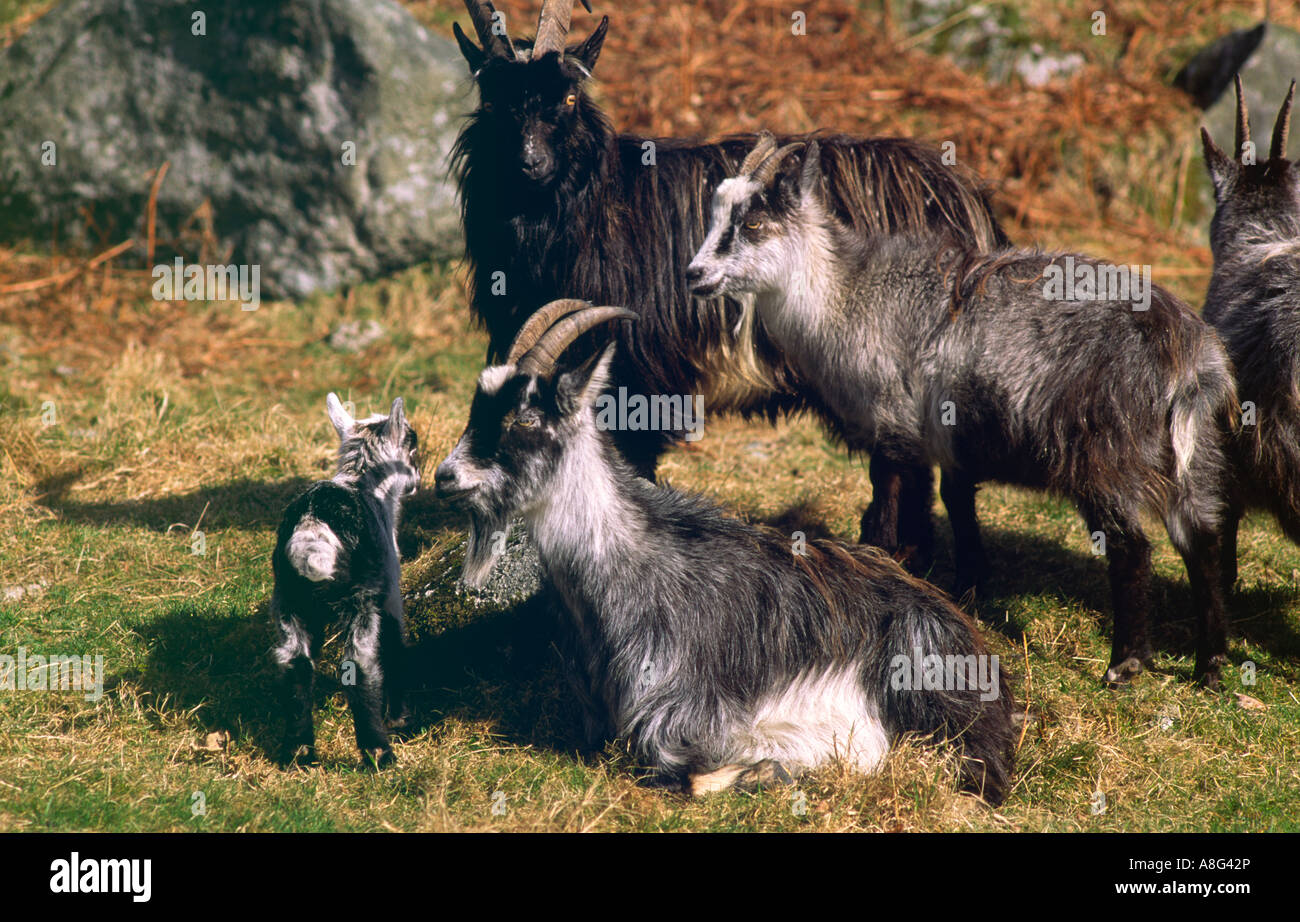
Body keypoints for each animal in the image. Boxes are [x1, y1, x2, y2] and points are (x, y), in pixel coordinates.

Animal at [270, 394, 421, 768]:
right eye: (413, 445)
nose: (417, 480)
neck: (363, 481)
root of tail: (312, 536)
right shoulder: (389, 592)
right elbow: (394, 645)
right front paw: (400, 718)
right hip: (360, 601)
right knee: (359, 664)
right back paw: (379, 752)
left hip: (287, 601)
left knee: (295, 663)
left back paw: (298, 751)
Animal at [435, 300, 1017, 801]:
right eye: (477, 406)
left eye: (526, 419)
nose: (445, 477)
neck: (628, 562)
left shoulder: (678, 714)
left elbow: (681, 772)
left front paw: (775, 766)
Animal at [450, 0, 1008, 582]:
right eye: (493, 100)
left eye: (569, 97)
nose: (531, 163)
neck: (598, 210)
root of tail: (962, 195)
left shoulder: (640, 377)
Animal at [686, 135, 1238, 688]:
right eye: (716, 216)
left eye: (753, 224)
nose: (694, 275)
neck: (845, 295)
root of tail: (1189, 356)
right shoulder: (949, 437)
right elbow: (956, 500)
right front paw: (969, 585)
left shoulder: (894, 421)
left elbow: (891, 499)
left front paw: (889, 564)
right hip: (1195, 456)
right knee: (1203, 541)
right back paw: (1209, 665)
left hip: (1105, 456)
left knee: (1133, 549)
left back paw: (1126, 662)